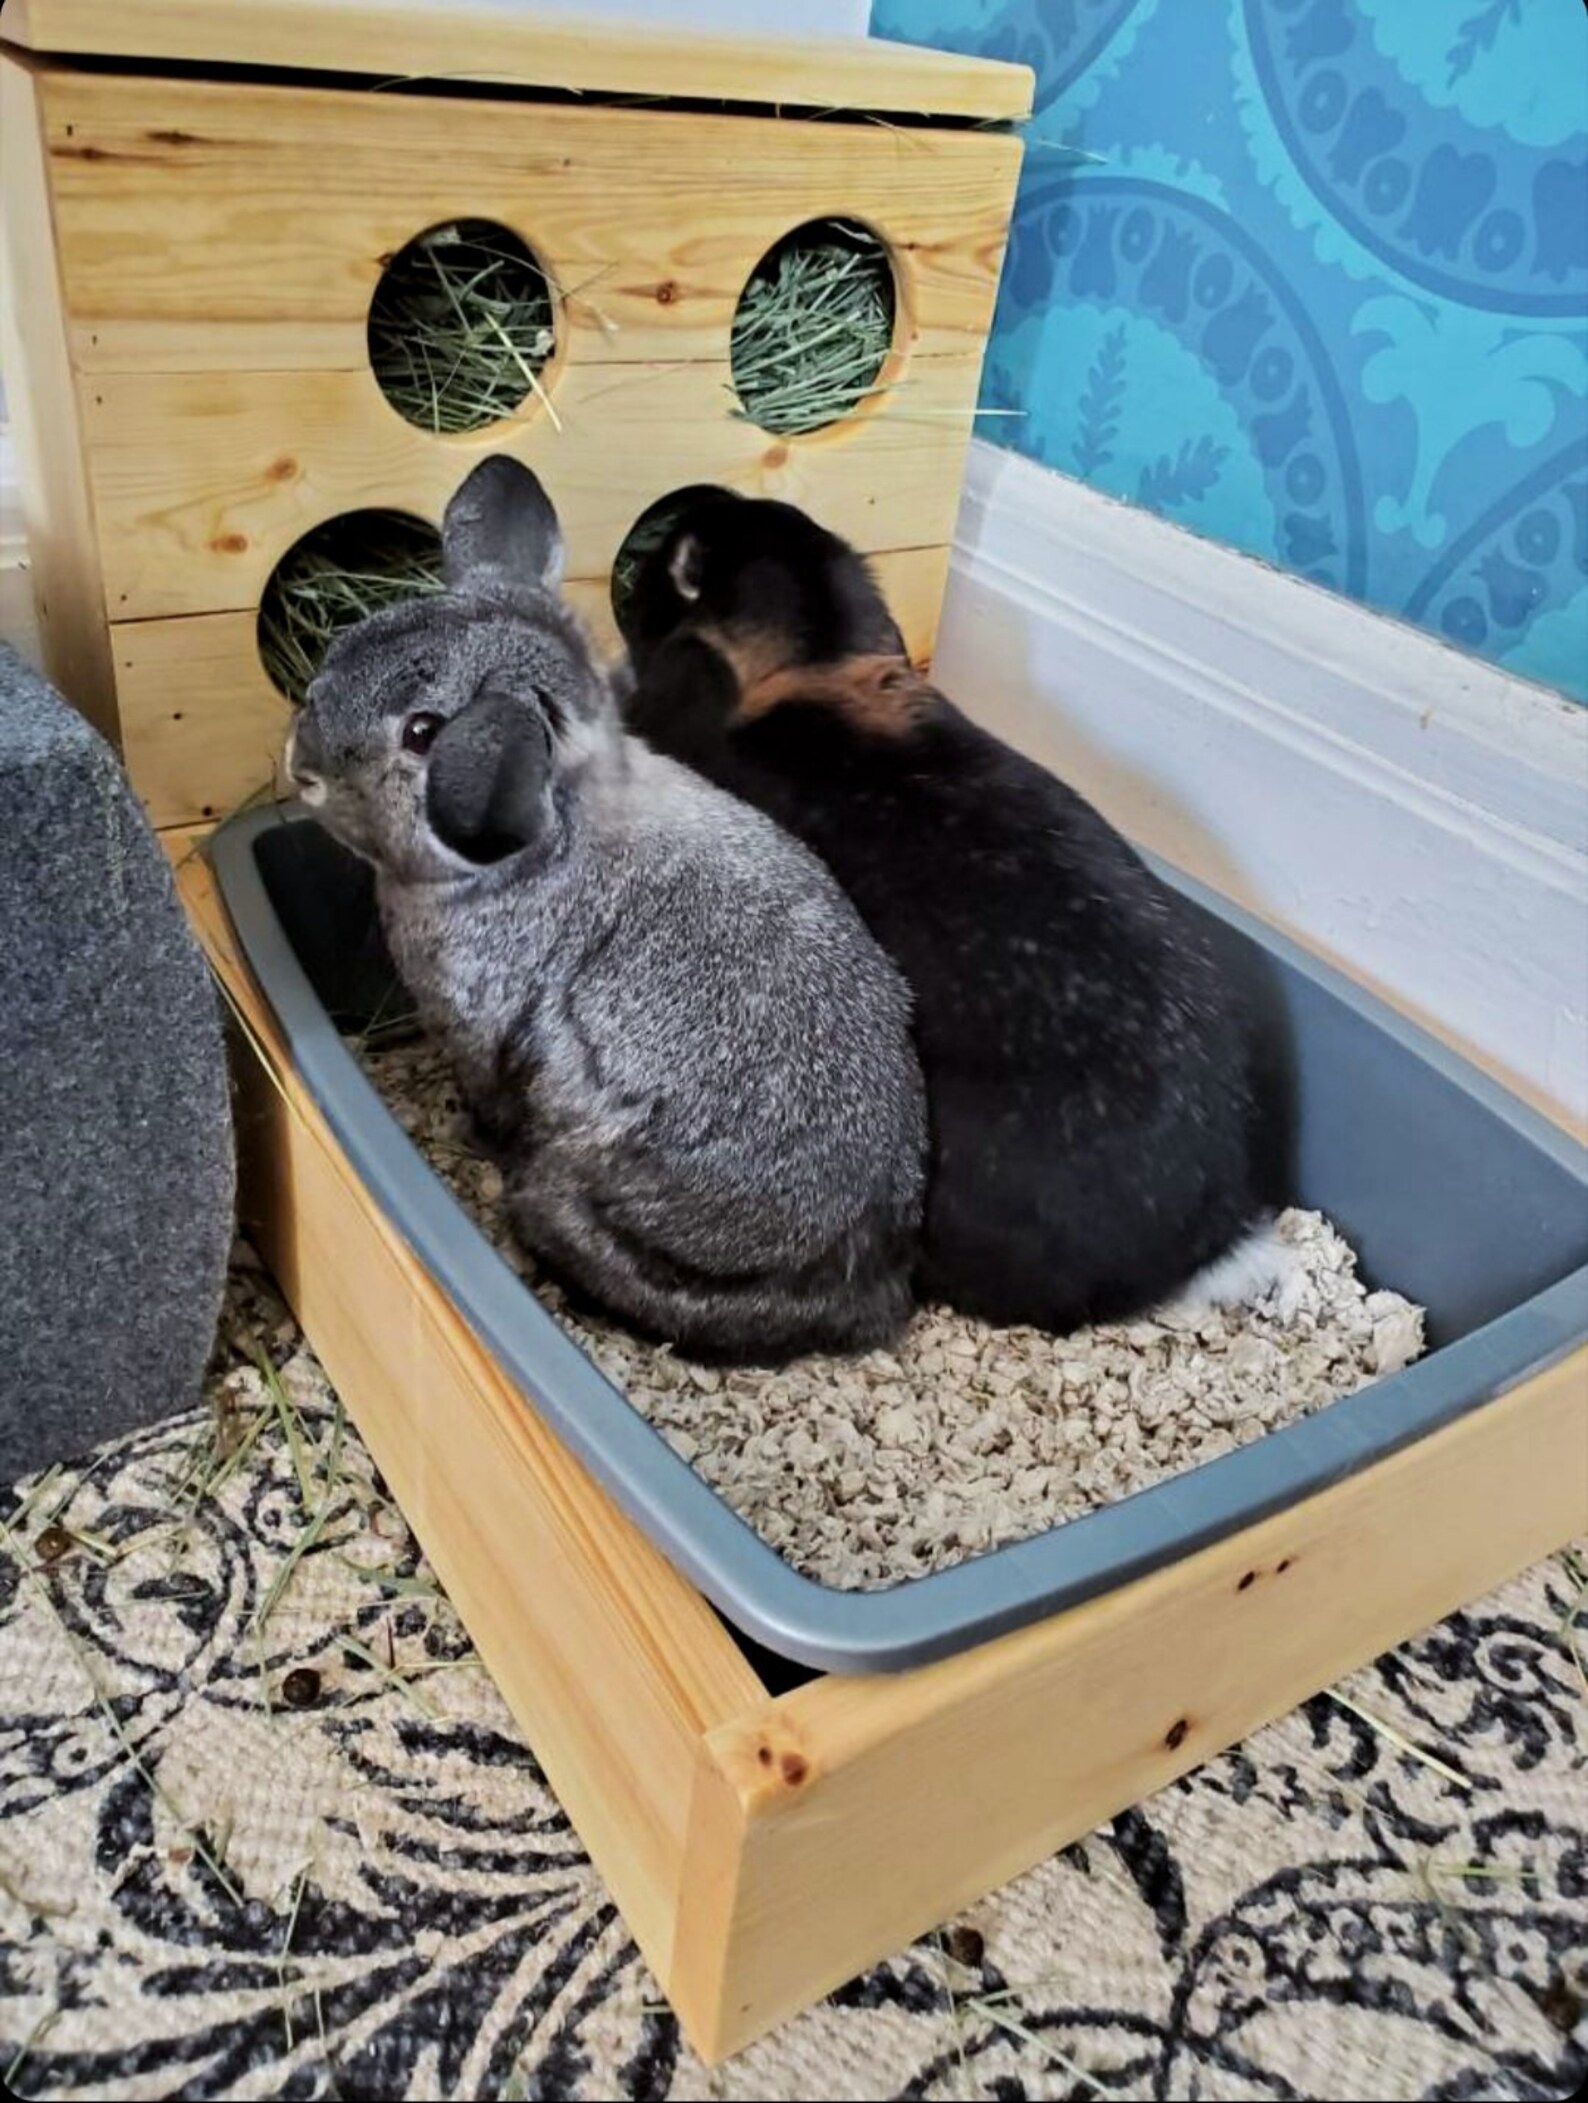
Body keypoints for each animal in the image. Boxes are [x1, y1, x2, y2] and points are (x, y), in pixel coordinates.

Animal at [284, 457, 926, 1364]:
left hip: (572, 1196)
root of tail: (866, 1287)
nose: (298, 761)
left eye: (422, 733)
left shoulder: (479, 1037)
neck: (541, 835)